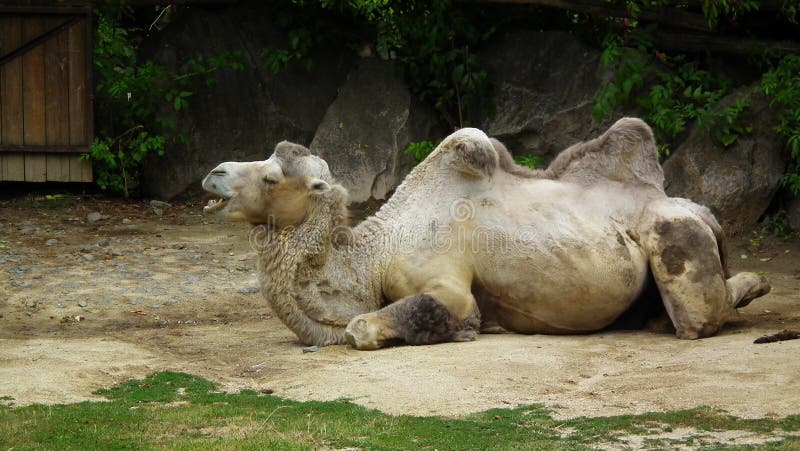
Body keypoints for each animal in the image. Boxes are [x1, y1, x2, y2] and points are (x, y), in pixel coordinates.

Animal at [202, 118, 770, 350]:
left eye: (272, 177)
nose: (214, 172)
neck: (375, 254)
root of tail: (704, 210)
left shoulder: (447, 284)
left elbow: (365, 326)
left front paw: (468, 329)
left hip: (669, 226)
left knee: (700, 316)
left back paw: (753, 286)